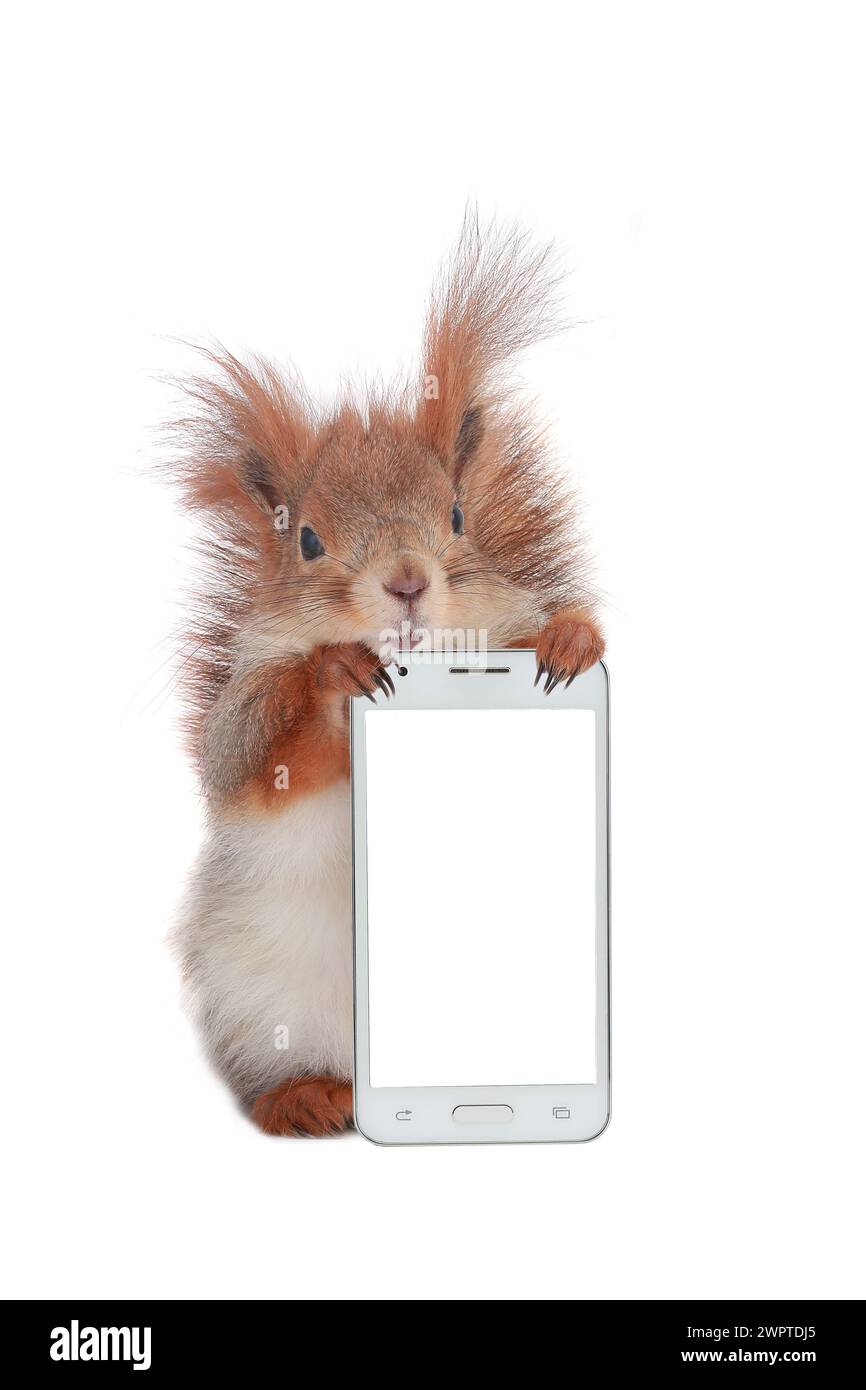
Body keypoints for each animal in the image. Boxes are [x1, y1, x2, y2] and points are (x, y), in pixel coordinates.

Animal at [166, 216, 604, 1135]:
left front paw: (573, 634)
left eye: (458, 517)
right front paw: (334, 672)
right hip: (260, 999)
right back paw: (307, 1096)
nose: (406, 581)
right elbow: (249, 757)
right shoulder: (245, 710)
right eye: (306, 540)